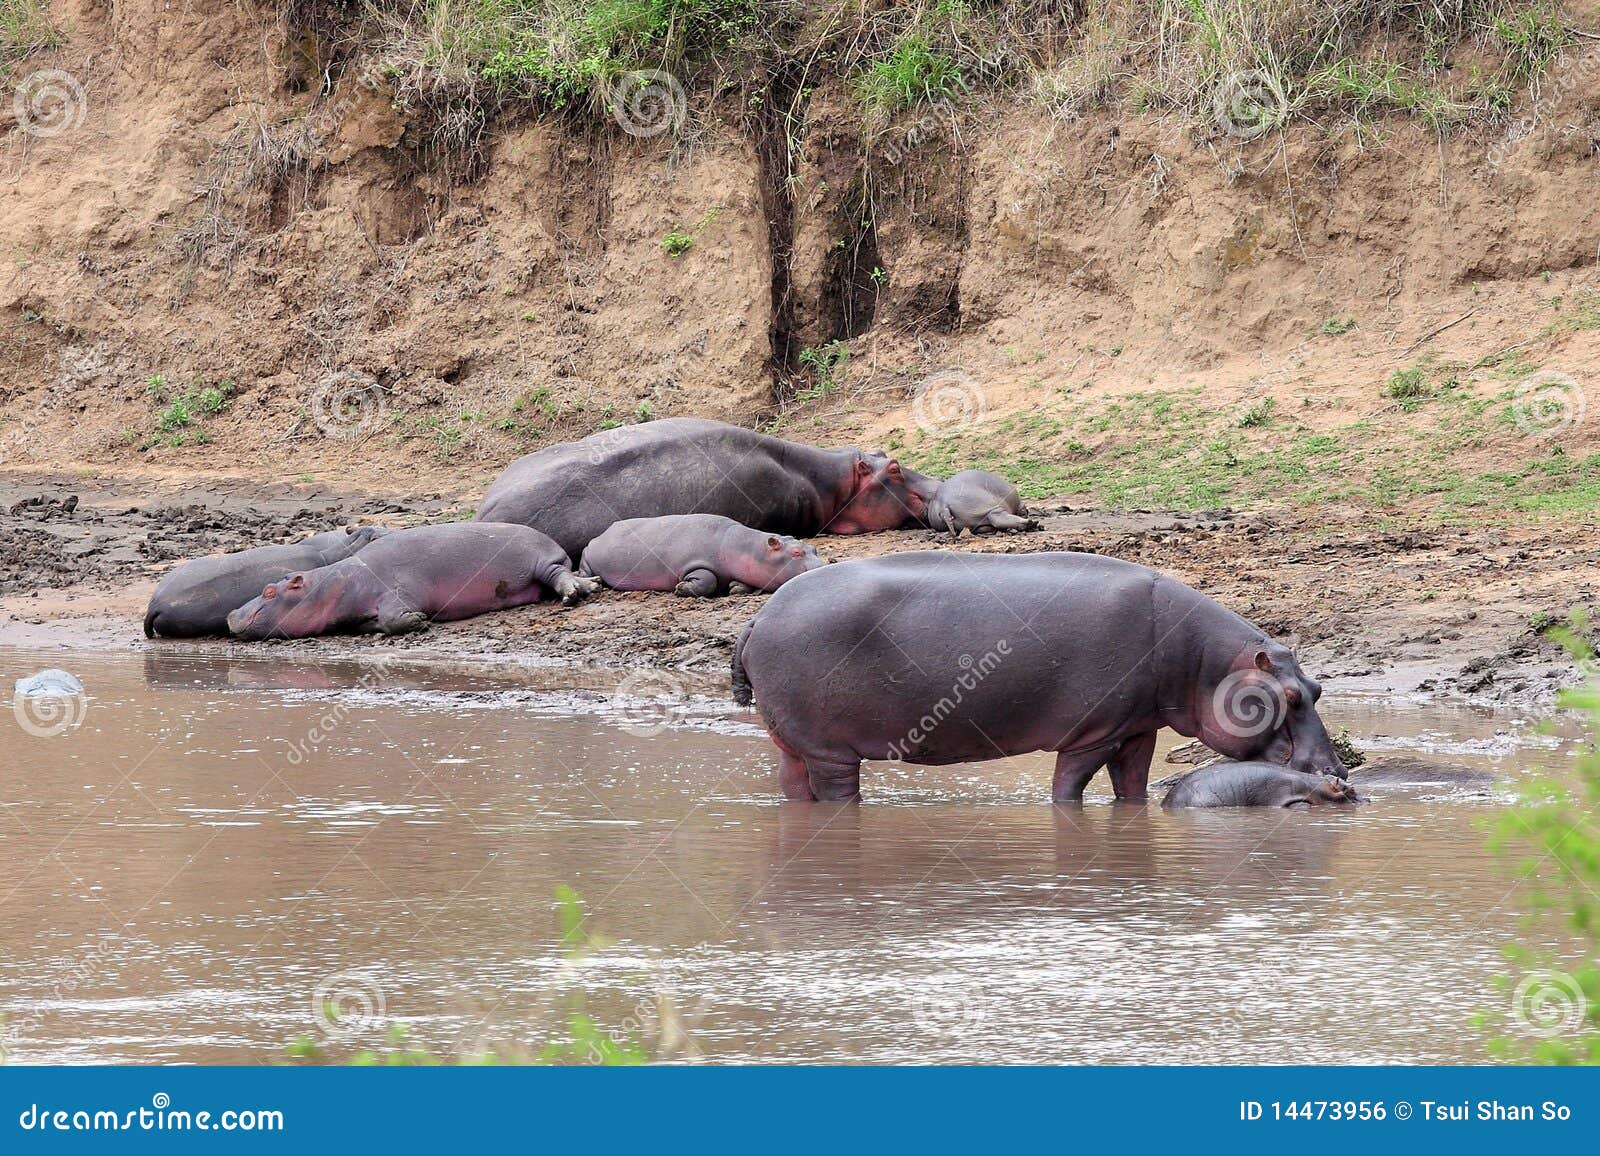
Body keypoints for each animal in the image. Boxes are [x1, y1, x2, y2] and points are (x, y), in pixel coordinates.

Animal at [226, 523, 595, 640]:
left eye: (268, 591)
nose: (231, 614)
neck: (334, 584)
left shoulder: (397, 587)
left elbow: (394, 616)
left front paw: (419, 621)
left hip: (540, 561)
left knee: (560, 575)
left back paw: (579, 591)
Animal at [579, 514, 827, 596]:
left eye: (813, 549)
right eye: (796, 552)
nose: (823, 568)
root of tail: (600, 535)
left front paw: (736, 588)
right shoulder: (695, 564)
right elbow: (708, 580)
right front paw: (681, 588)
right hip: (589, 558)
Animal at [731, 551, 1345, 802]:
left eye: (1318, 688)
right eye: (1290, 697)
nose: (1337, 772)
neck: (1205, 663)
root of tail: (757, 617)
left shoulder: (1137, 728)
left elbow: (1132, 786)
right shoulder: (1094, 731)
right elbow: (1068, 787)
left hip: (790, 742)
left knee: (793, 789)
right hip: (830, 750)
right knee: (836, 793)